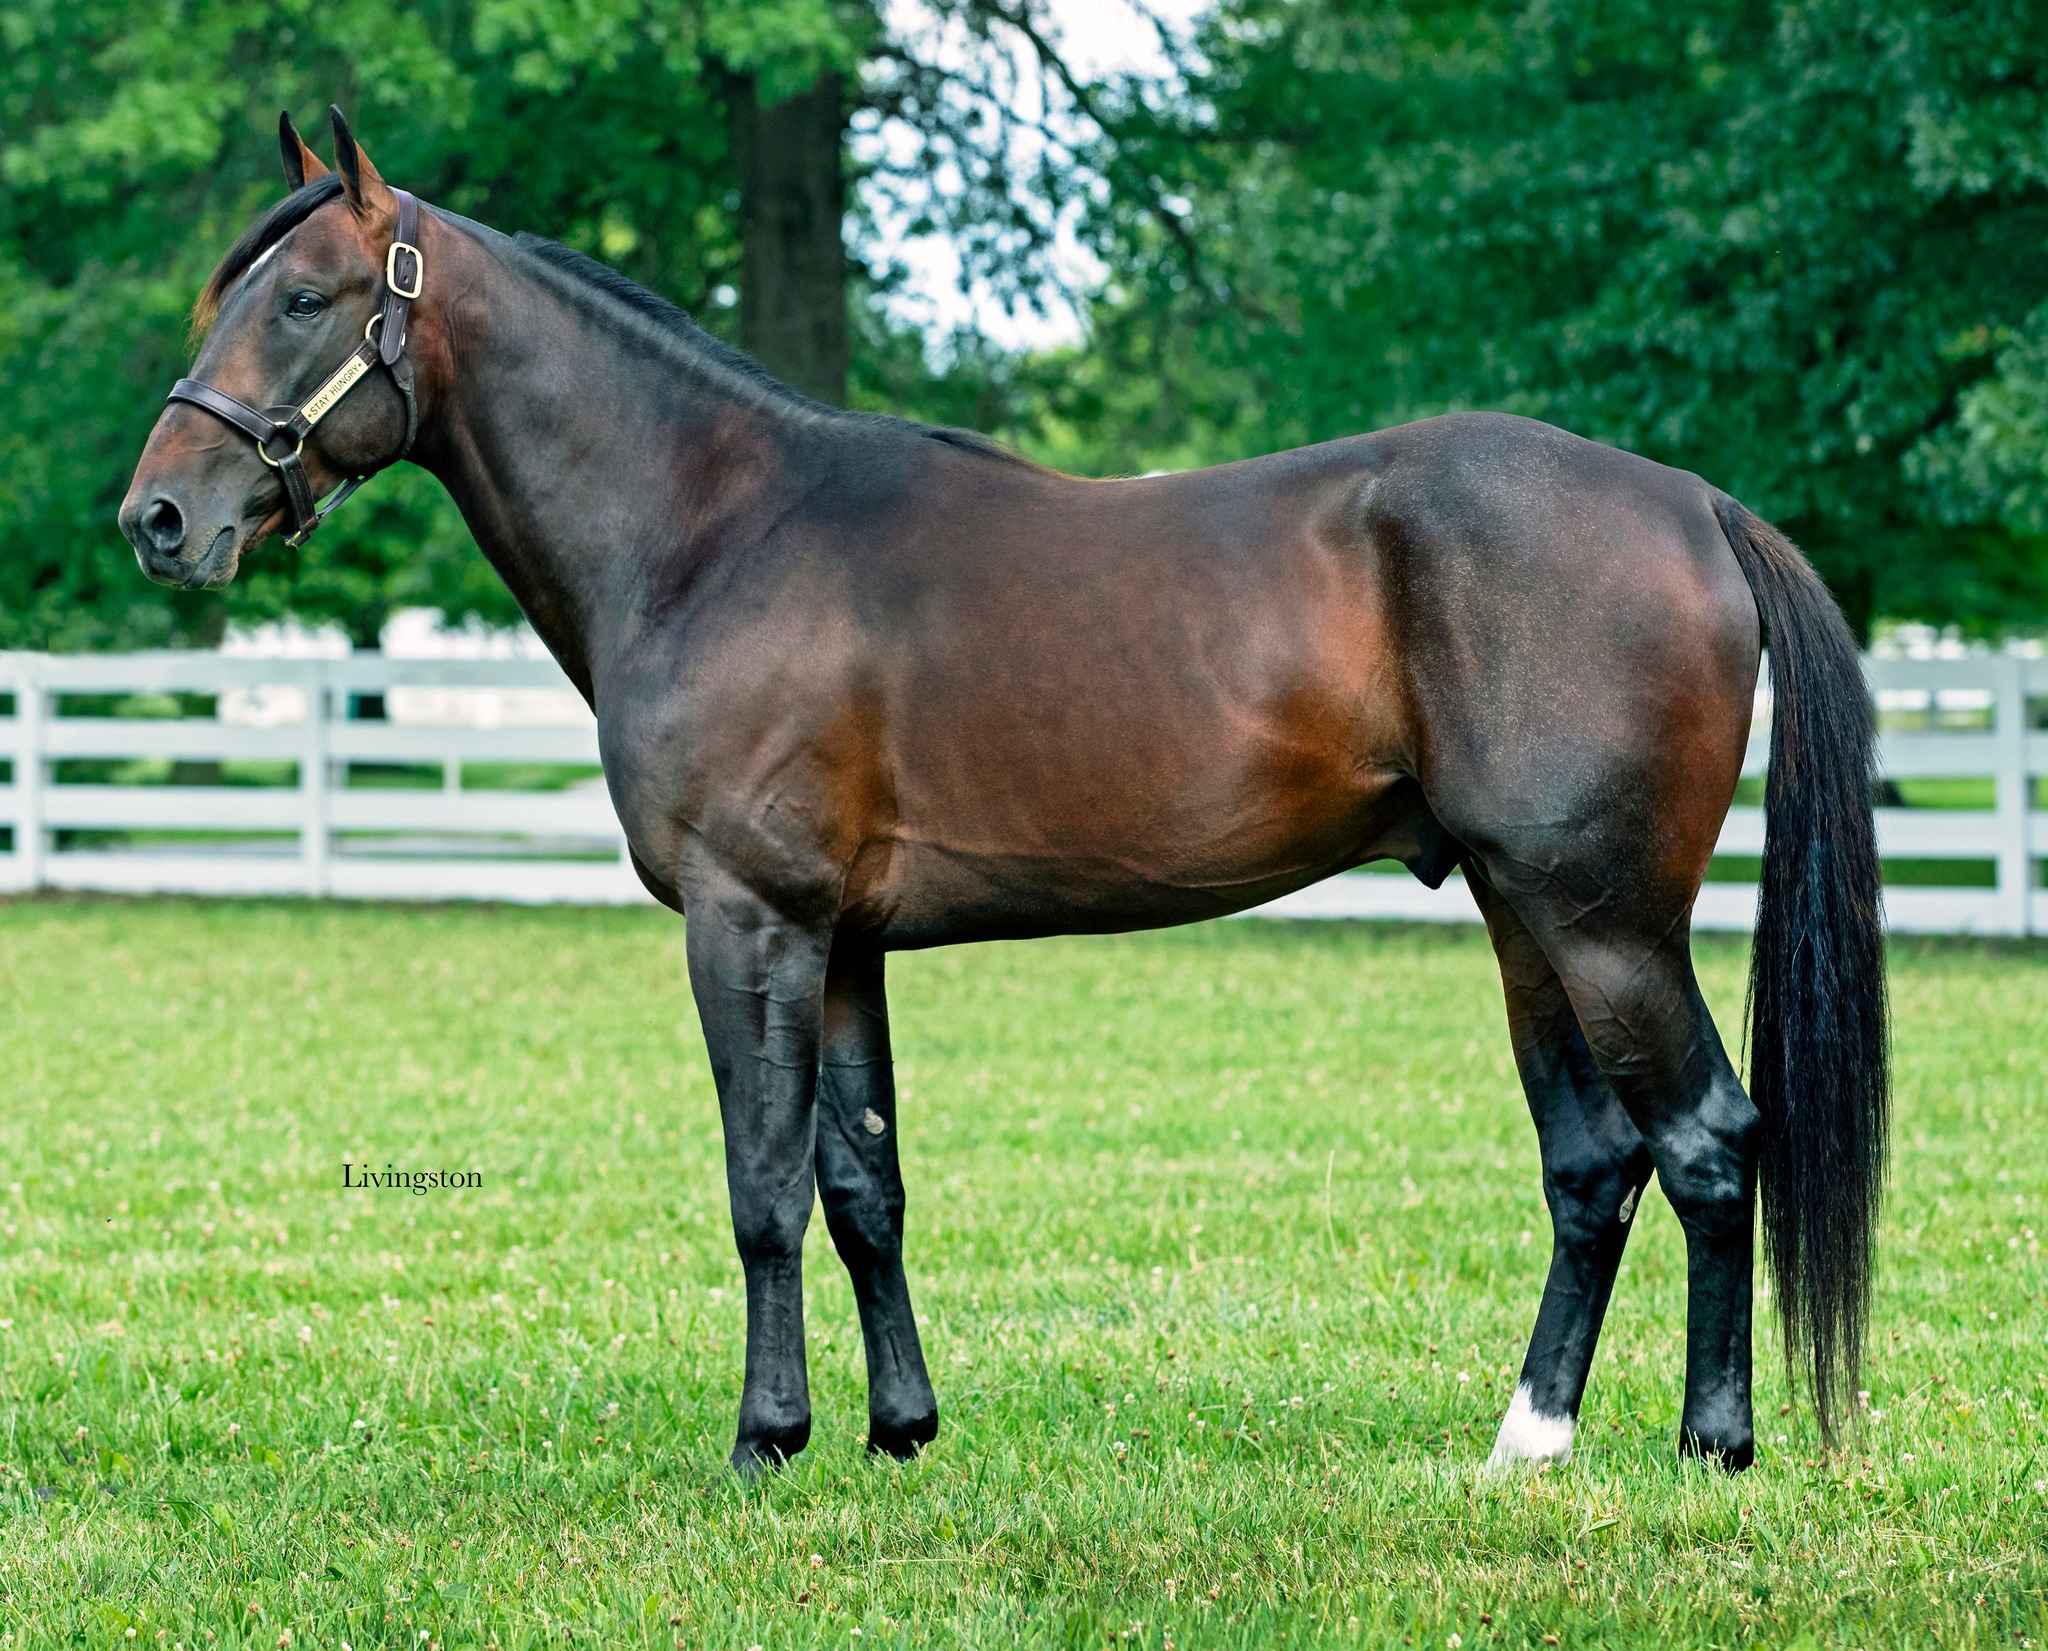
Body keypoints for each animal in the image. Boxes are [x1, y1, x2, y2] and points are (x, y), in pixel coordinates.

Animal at [120, 108, 1887, 1475]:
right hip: (1527, 919)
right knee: (1594, 1164)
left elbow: (763, 1188)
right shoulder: (839, 941)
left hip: (1605, 922)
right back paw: (1529, 1441)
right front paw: (900, 1428)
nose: (158, 519)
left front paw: (767, 1440)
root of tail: (1691, 501)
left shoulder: (746, 921)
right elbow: (861, 1186)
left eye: (304, 297)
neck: (714, 529)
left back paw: (1712, 1443)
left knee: (1708, 1139)